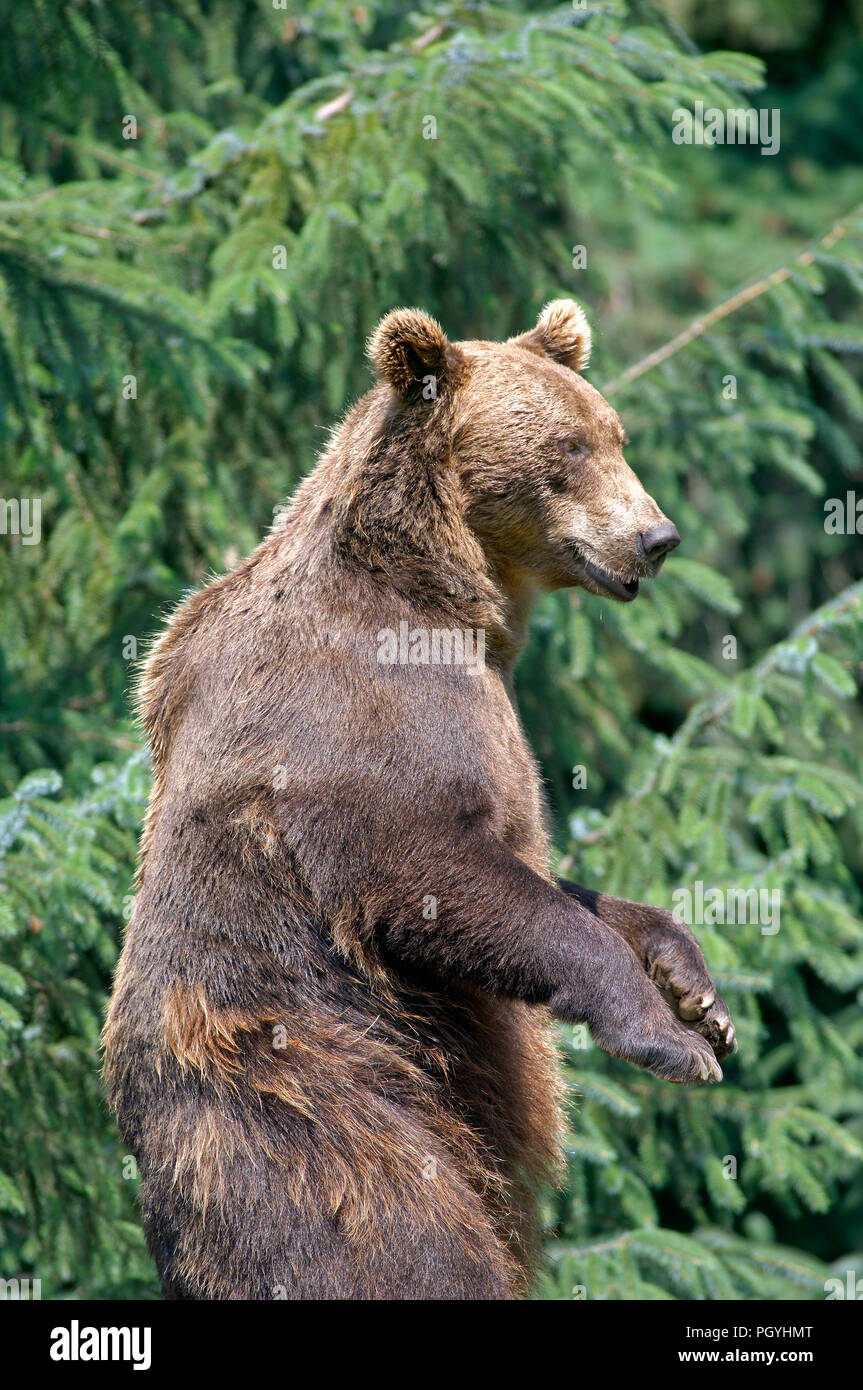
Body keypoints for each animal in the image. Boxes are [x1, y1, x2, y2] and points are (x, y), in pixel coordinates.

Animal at [103, 300, 735, 1301]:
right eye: (567, 449)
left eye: (615, 435)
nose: (656, 537)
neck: (446, 592)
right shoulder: (352, 719)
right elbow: (427, 868)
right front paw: (667, 1040)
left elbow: (539, 867)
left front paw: (693, 990)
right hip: (312, 1101)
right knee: (402, 1243)